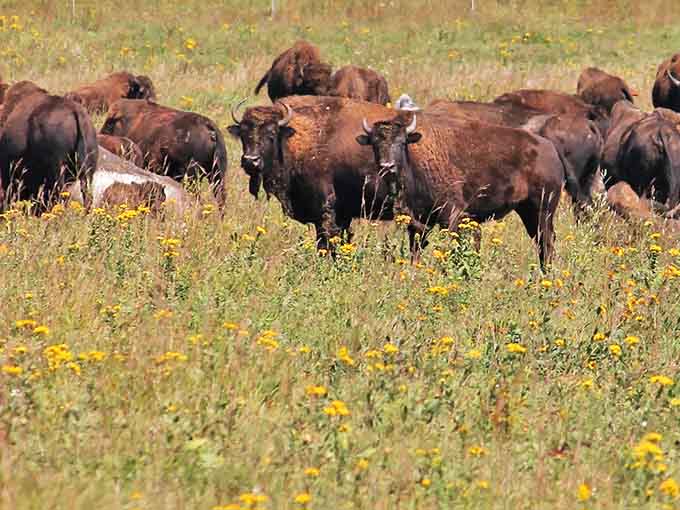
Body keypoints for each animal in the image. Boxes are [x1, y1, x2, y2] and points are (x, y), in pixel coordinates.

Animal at [356, 113, 565, 268]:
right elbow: (416, 249)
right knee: (541, 241)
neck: (414, 157)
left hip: (543, 210)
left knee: (547, 242)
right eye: (375, 143)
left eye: (401, 142)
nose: (387, 166)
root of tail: (550, 150)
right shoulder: (418, 222)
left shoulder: (450, 215)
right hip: (526, 211)